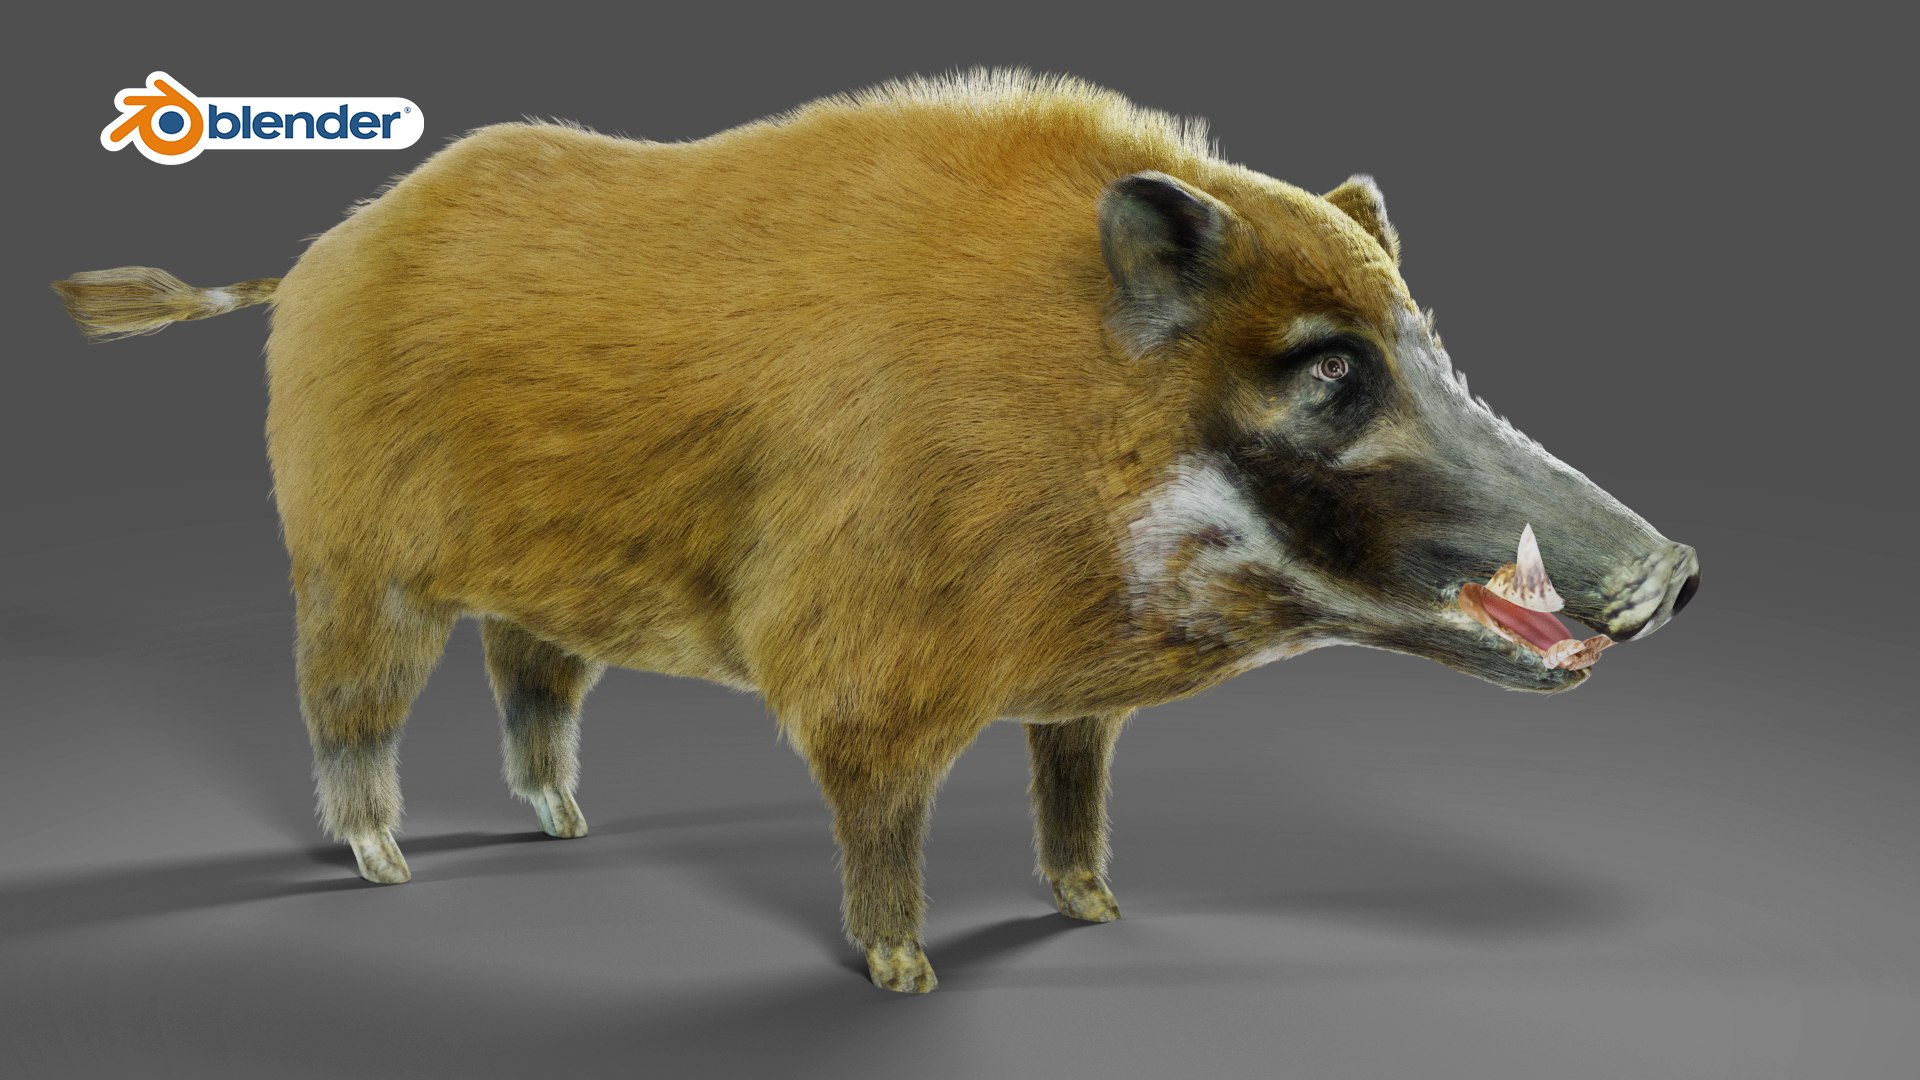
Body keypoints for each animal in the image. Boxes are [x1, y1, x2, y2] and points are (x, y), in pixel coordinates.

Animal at [54, 70, 1699, 992]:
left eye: (1428, 342)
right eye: (1330, 371)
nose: (1677, 570)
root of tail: (313, 258)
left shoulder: (1068, 699)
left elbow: (1072, 798)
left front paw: (1097, 911)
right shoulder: (865, 670)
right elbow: (881, 817)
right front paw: (905, 976)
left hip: (540, 592)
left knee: (531, 683)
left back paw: (567, 826)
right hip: (352, 558)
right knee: (348, 708)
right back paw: (389, 867)